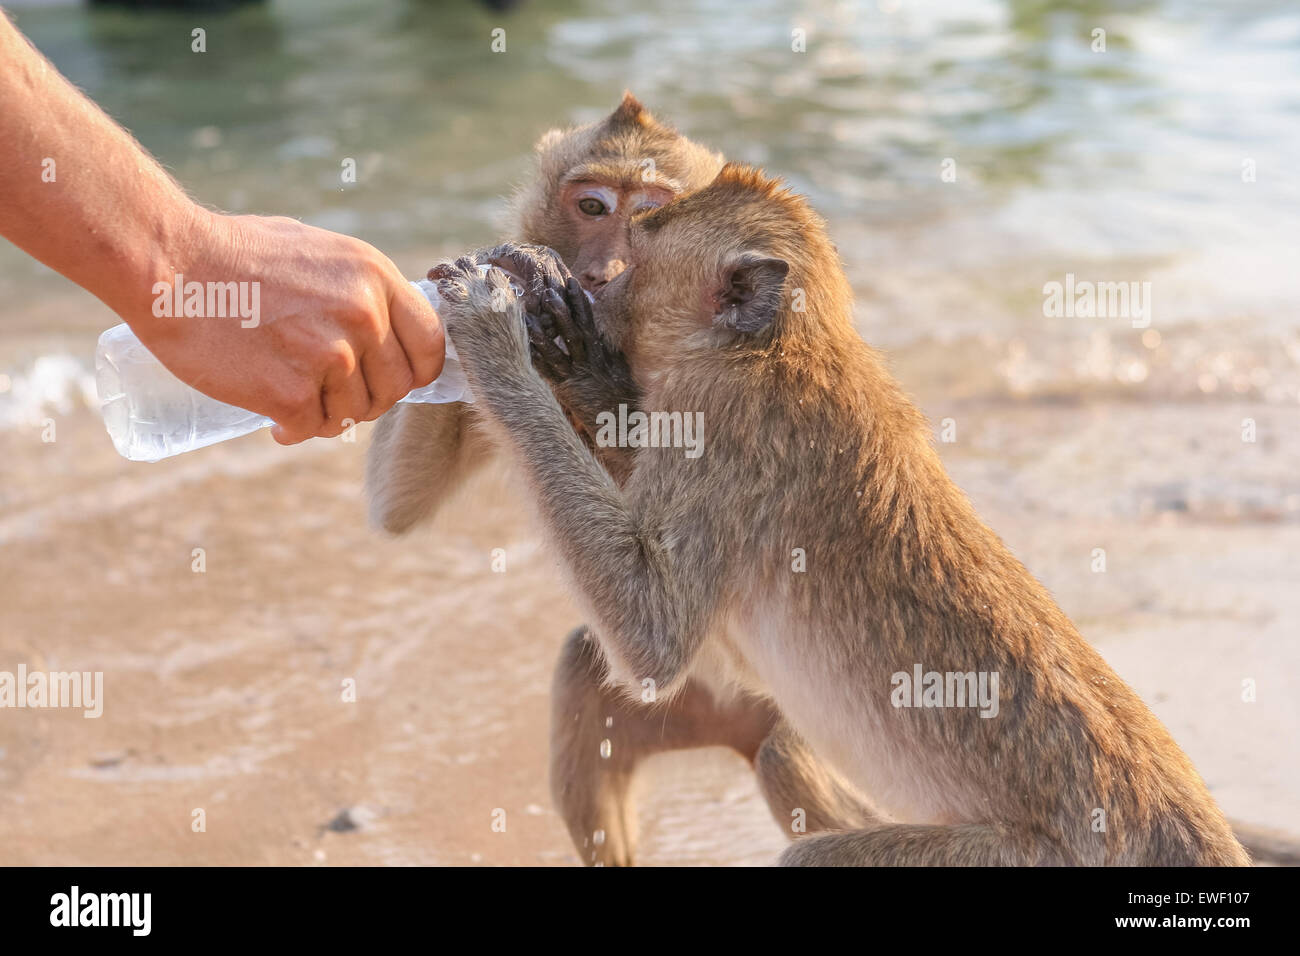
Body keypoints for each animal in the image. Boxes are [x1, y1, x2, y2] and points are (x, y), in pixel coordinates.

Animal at [427, 163, 1251, 866]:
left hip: (1023, 859)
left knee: (811, 850)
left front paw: (492, 333)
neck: (784, 345)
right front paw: (573, 355)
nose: (595, 287)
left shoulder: (729, 424)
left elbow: (652, 636)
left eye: (634, 255)